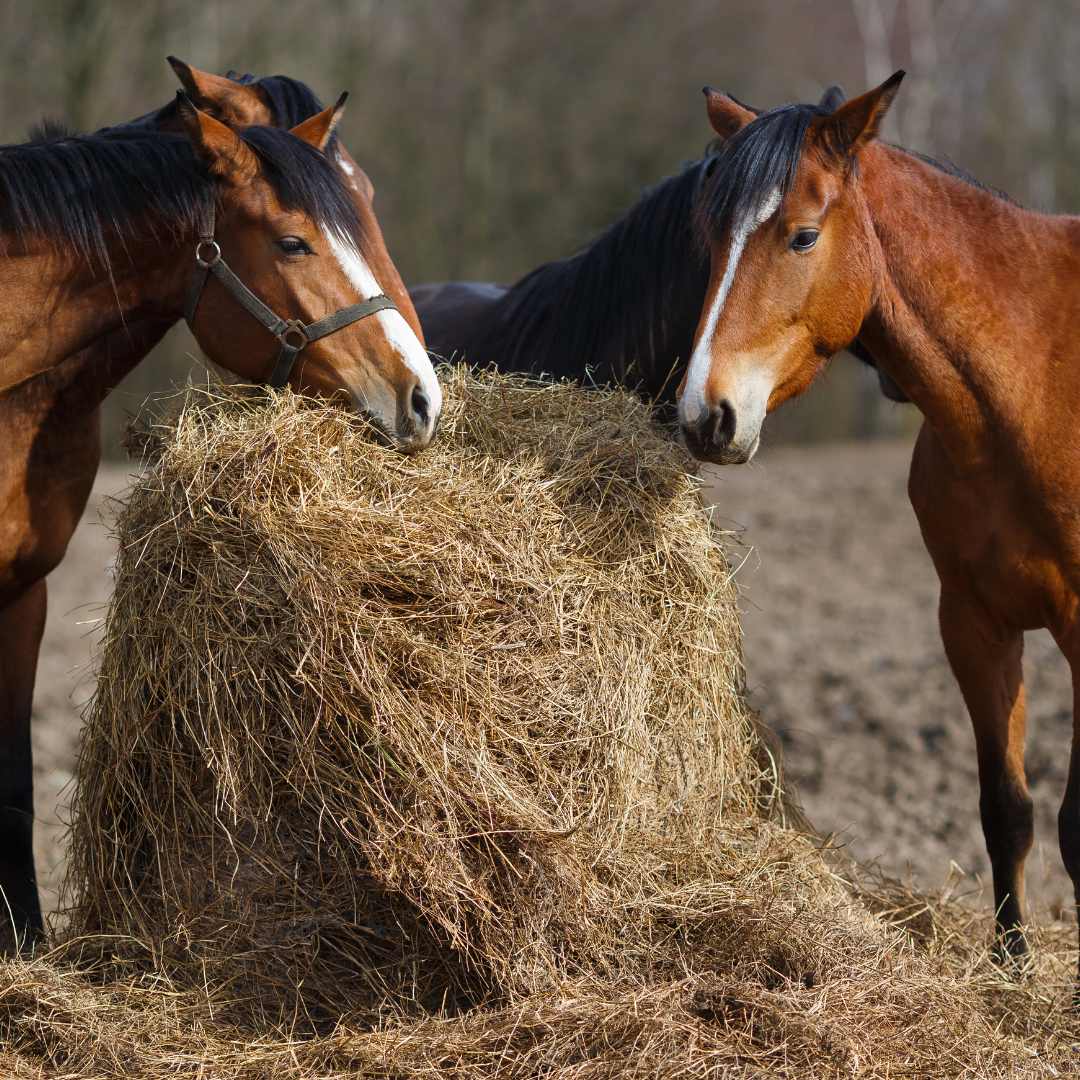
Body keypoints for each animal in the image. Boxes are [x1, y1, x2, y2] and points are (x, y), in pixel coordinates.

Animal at [678, 69, 1080, 973]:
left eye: (800, 237)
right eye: (707, 235)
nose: (704, 416)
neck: (1038, 380)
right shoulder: (974, 623)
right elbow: (1007, 809)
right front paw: (1011, 969)